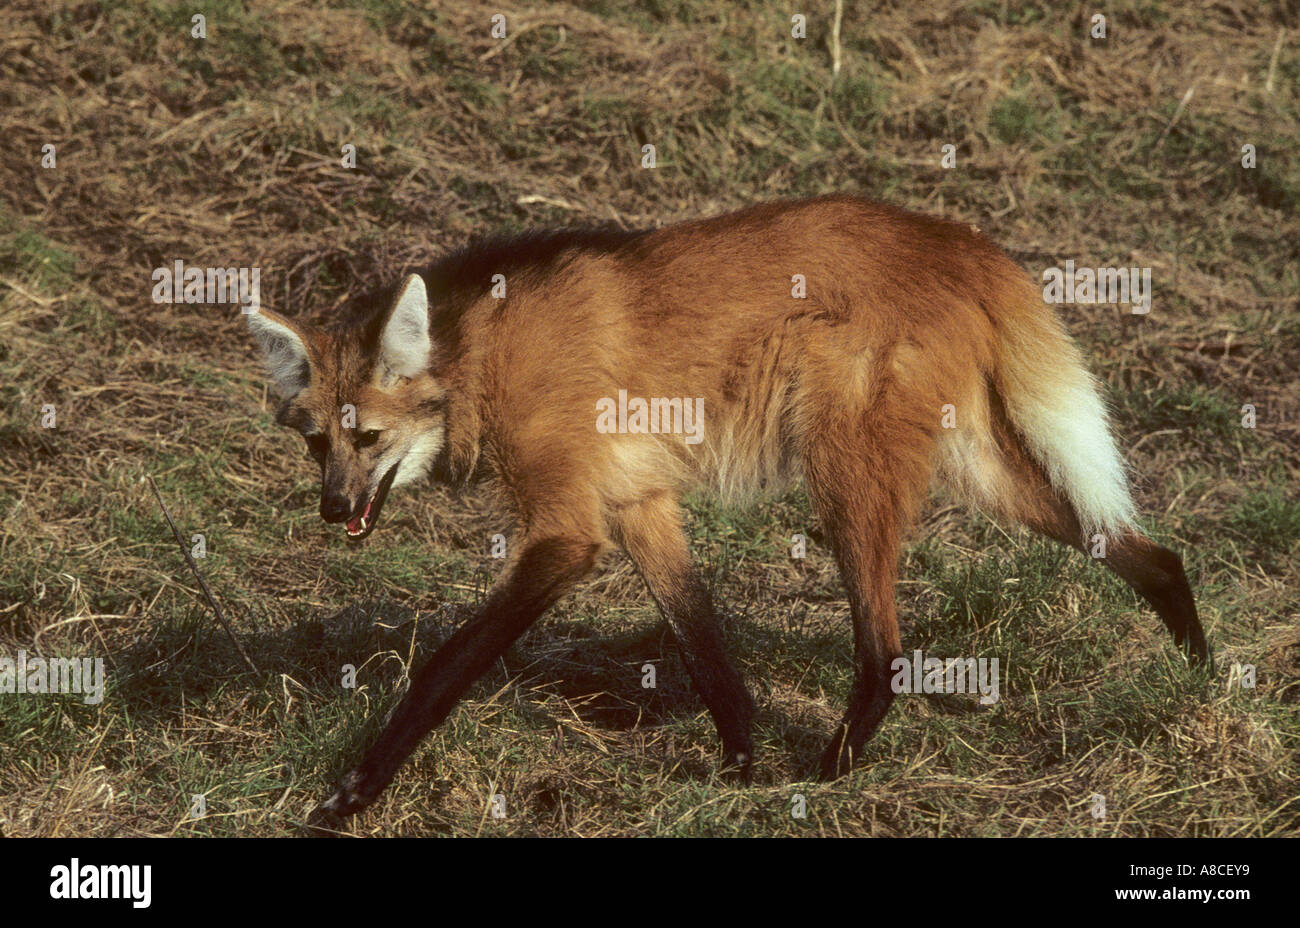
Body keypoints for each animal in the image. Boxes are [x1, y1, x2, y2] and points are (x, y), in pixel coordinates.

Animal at [245, 195, 1208, 824]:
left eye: (369, 438)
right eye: (316, 444)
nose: (333, 510)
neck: (480, 358)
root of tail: (955, 238)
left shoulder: (568, 533)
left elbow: (446, 668)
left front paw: (350, 794)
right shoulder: (638, 505)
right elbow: (706, 648)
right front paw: (740, 767)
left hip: (844, 468)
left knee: (887, 648)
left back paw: (831, 772)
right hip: (972, 461)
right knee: (1141, 549)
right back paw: (1197, 674)